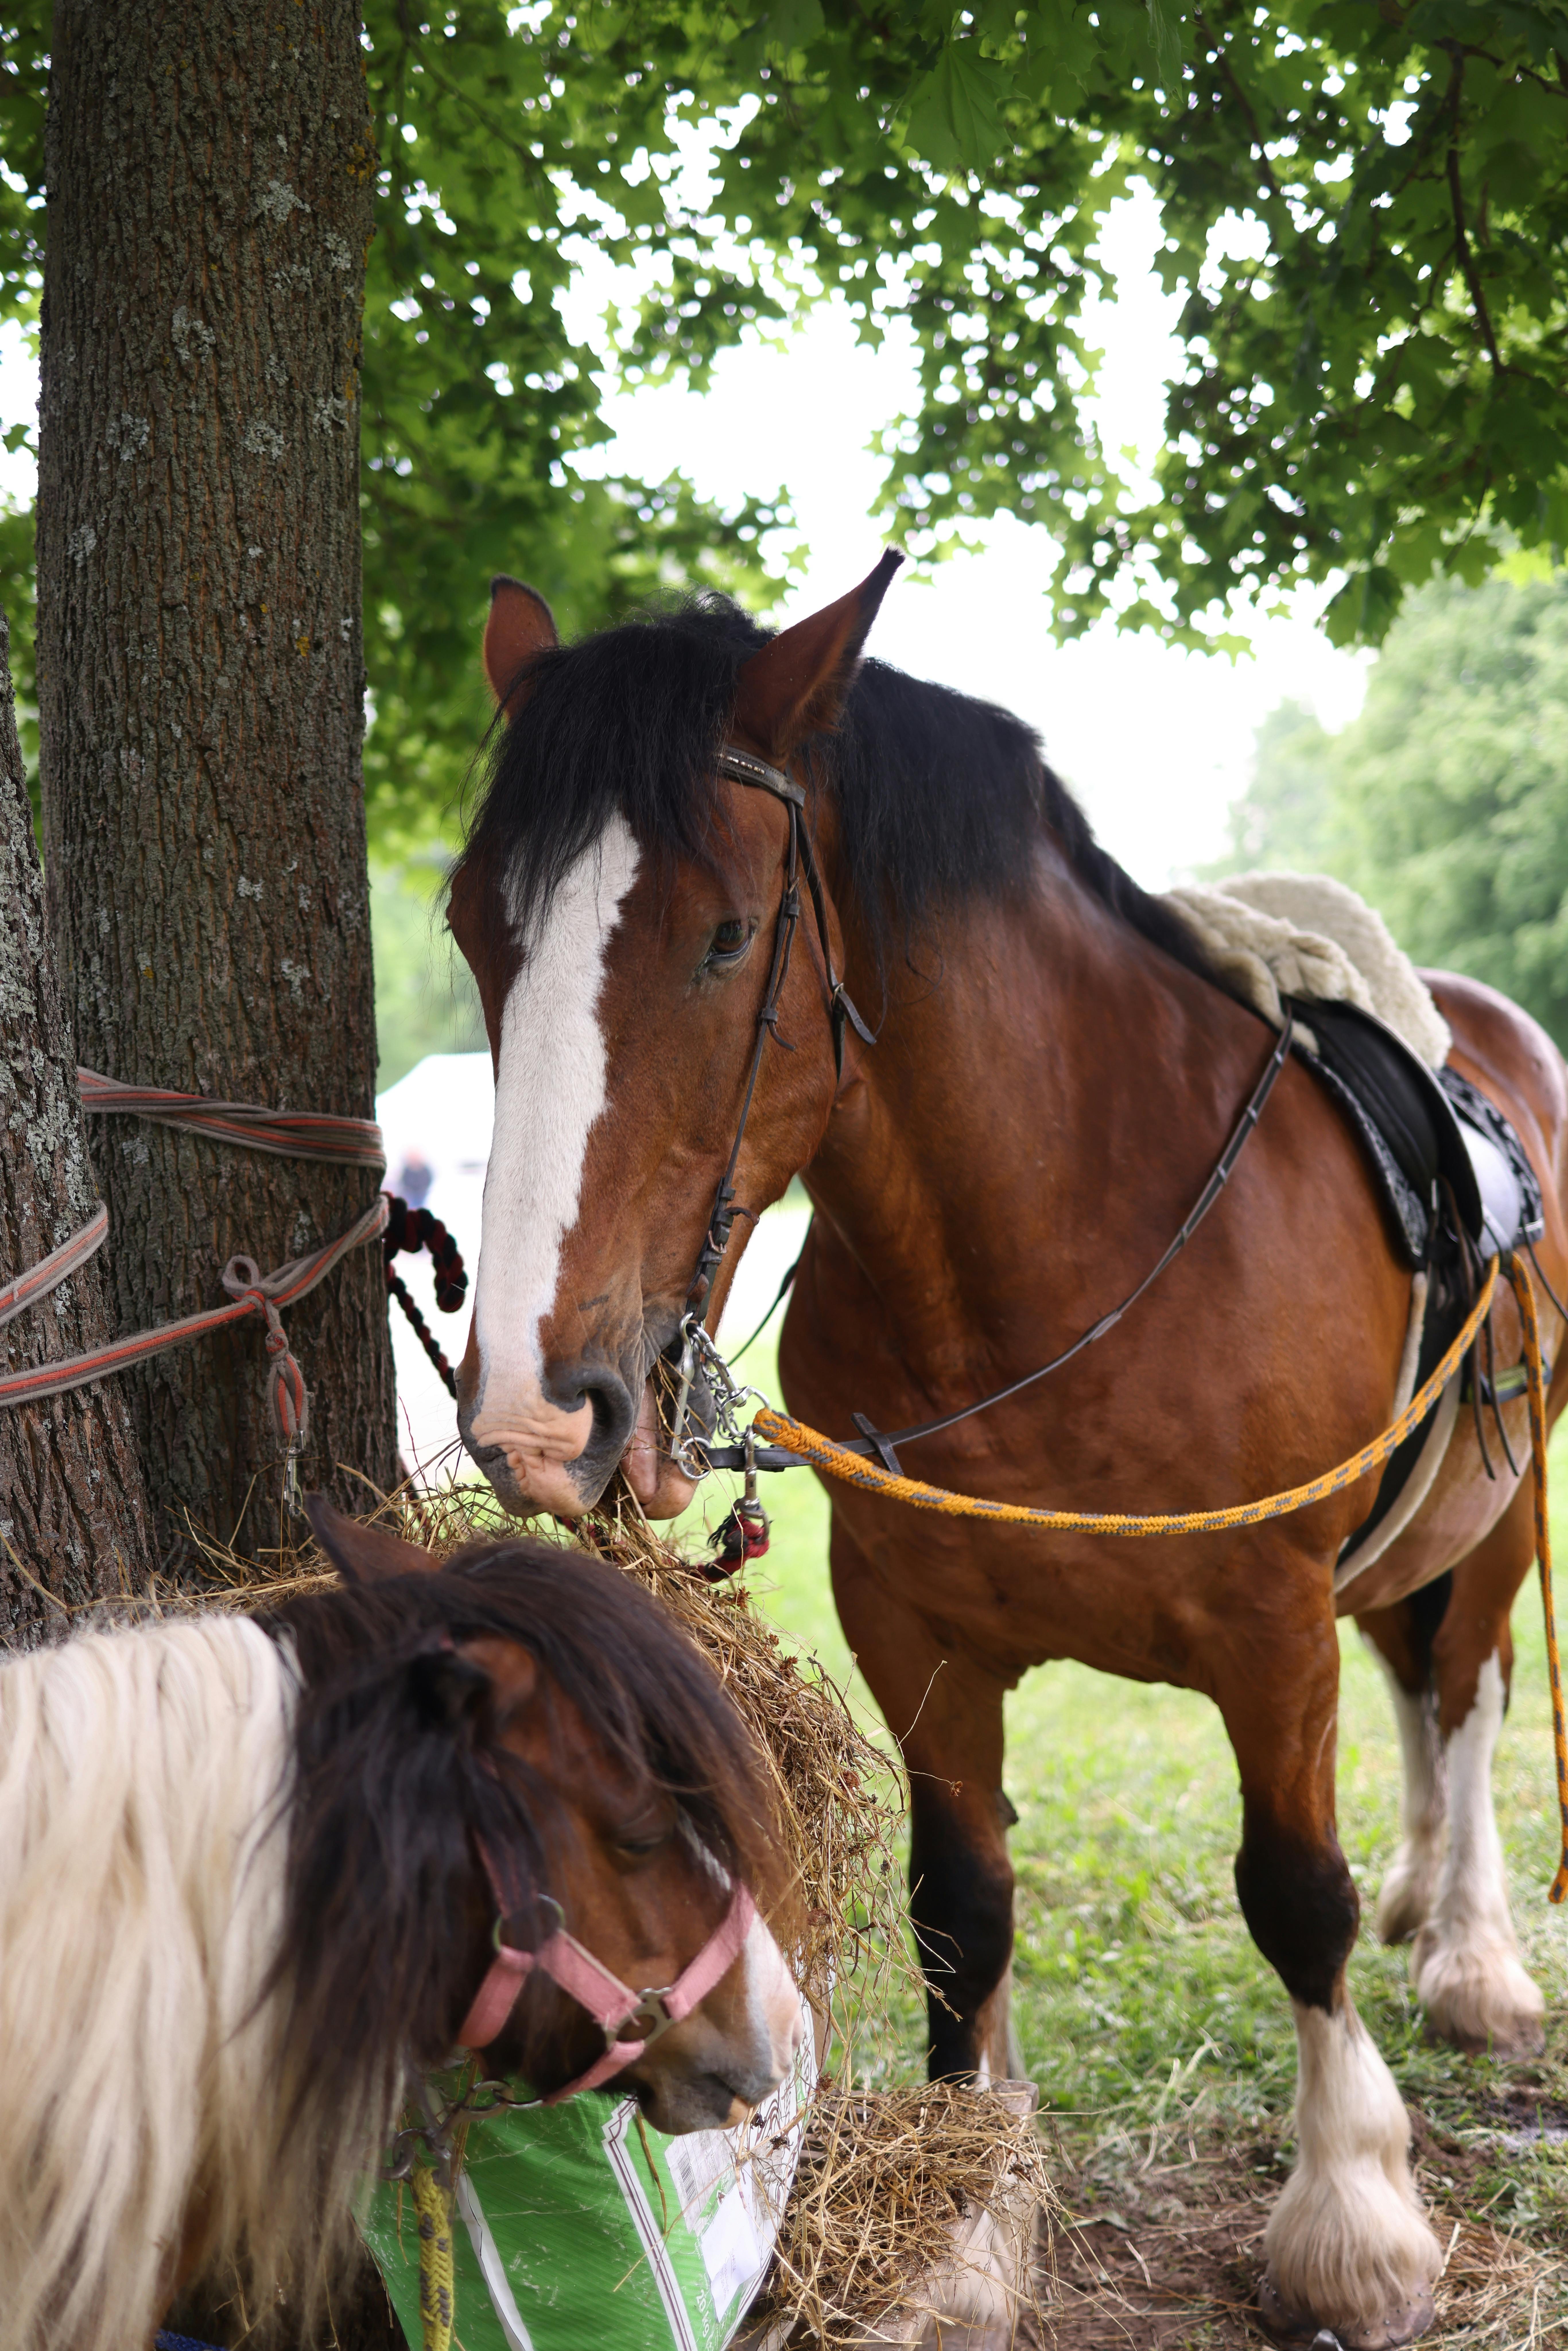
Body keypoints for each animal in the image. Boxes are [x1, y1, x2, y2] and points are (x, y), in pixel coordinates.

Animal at [444, 557, 1568, 2350]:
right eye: (478, 932)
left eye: (725, 932)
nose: (543, 1410)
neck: (1066, 1235)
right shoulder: (912, 1623)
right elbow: (958, 1911)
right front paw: (972, 2215)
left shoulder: (1268, 1628)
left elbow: (1293, 1891)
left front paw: (1354, 2215)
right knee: (1413, 1671)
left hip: (1502, 1493)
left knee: (1458, 1688)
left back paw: (1466, 1949)